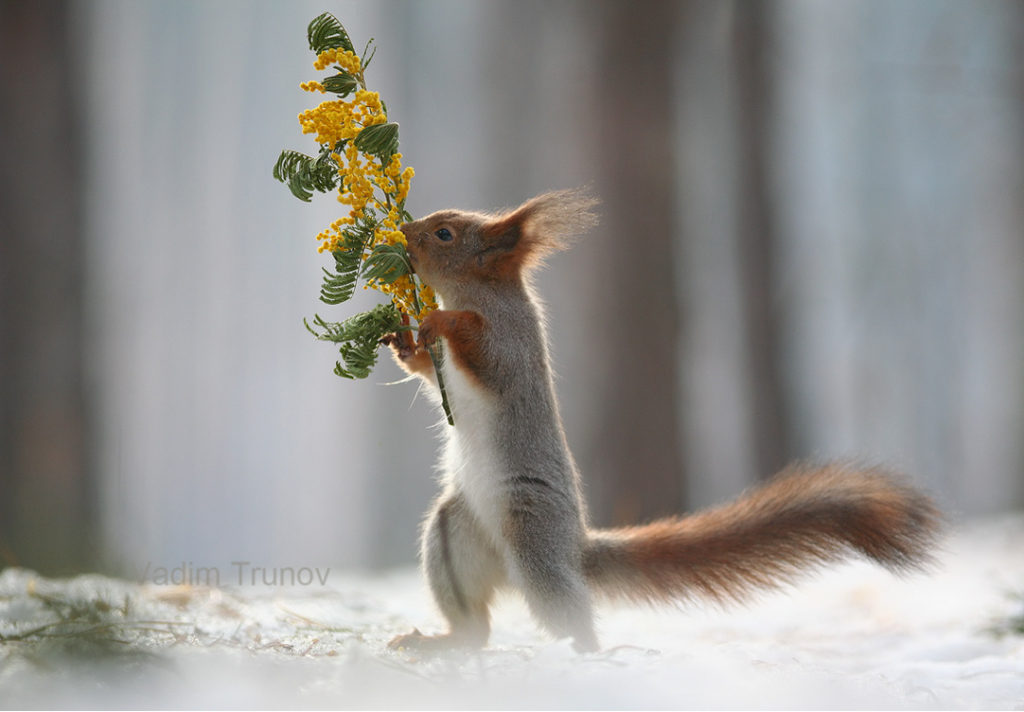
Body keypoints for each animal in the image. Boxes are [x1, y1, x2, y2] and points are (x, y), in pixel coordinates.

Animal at [381, 188, 940, 654]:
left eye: (444, 233)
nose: (403, 232)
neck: (477, 292)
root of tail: (574, 548)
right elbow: (428, 372)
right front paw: (403, 336)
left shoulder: (511, 343)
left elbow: (485, 355)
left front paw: (442, 320)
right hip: (452, 536)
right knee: (475, 628)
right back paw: (440, 642)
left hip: (533, 536)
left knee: (564, 608)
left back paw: (590, 656)